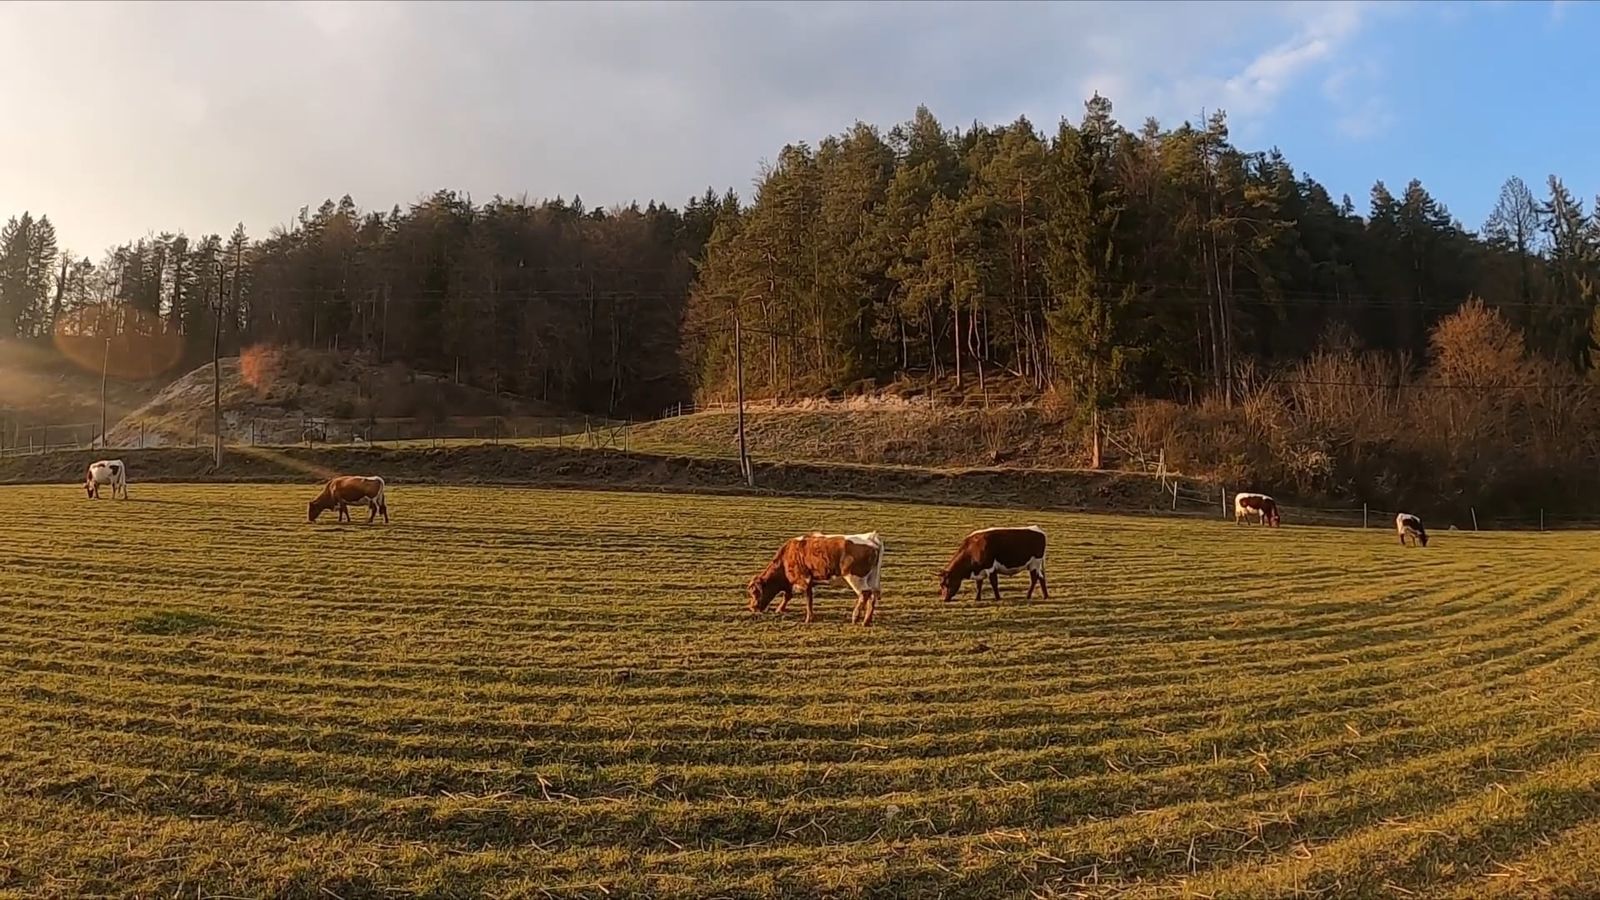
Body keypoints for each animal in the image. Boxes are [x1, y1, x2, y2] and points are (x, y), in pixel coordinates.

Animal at [747, 531, 883, 626]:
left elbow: (808, 599)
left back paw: (855, 617)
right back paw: (866, 621)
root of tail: (870, 537)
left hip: (855, 578)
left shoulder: (804, 580)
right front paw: (780, 609)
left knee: (865, 593)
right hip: (872, 579)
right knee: (873, 595)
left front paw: (808, 619)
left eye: (755, 592)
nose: (752, 607)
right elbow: (788, 595)